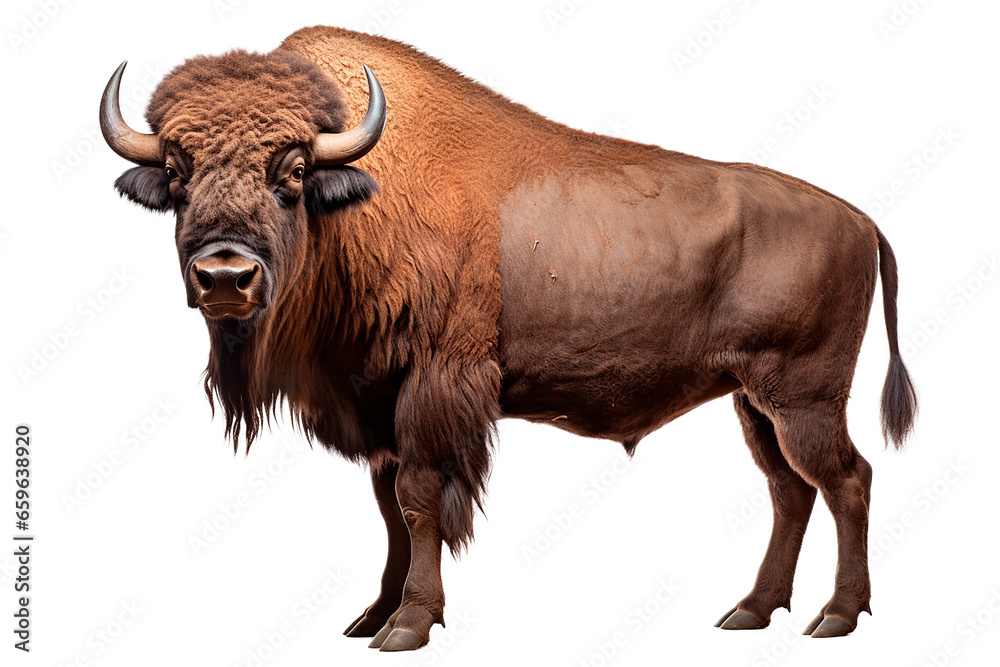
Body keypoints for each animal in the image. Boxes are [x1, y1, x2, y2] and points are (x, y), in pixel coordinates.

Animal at [100, 26, 917, 651]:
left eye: (292, 170)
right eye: (175, 170)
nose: (225, 275)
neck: (357, 199)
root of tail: (861, 220)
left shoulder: (434, 390)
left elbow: (420, 500)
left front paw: (408, 625)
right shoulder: (379, 405)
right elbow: (388, 507)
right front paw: (371, 616)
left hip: (803, 398)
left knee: (845, 479)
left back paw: (835, 616)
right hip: (752, 402)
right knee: (790, 489)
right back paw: (750, 611)